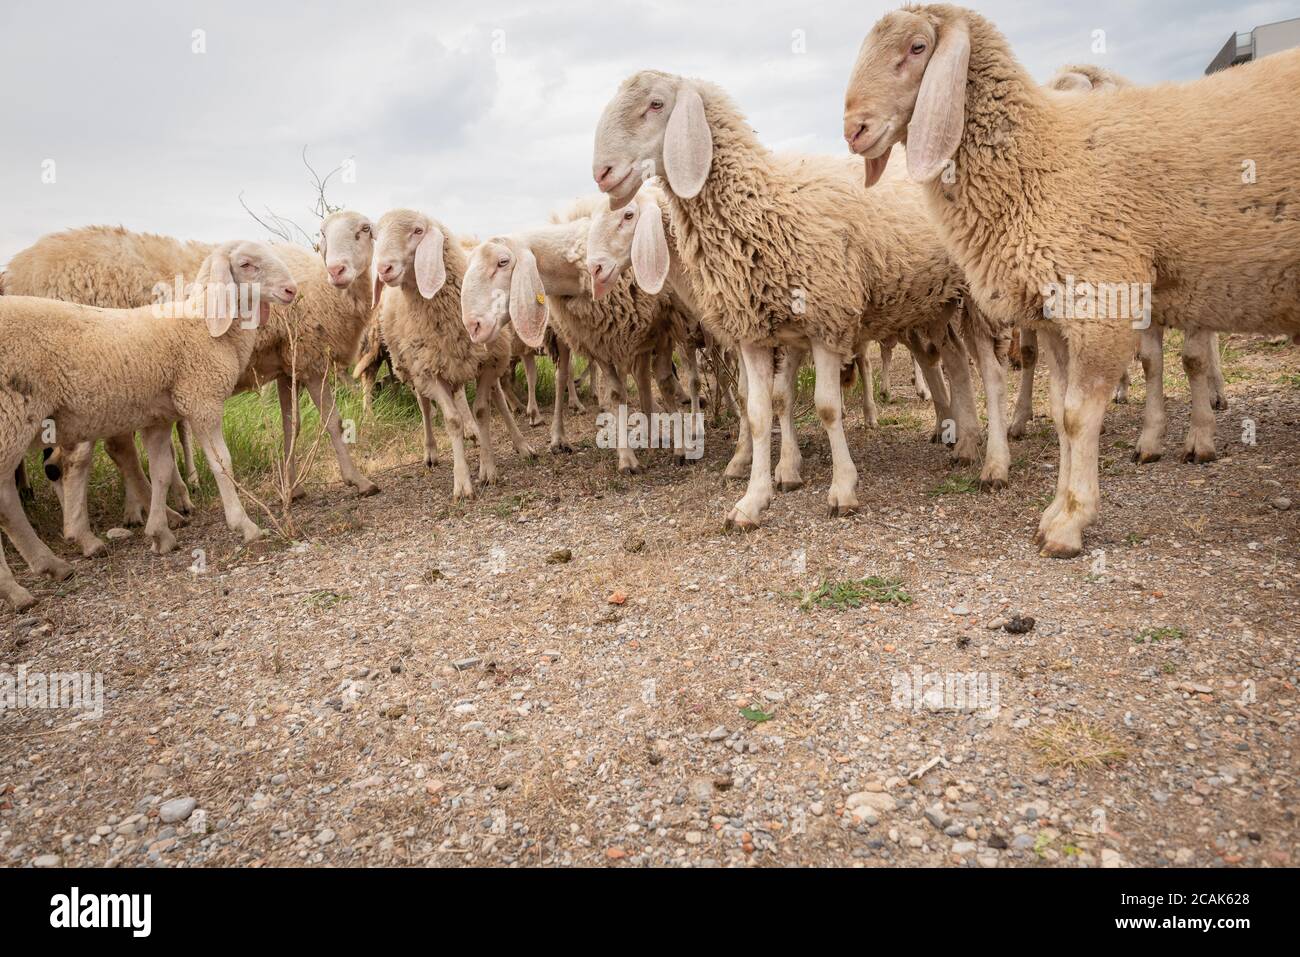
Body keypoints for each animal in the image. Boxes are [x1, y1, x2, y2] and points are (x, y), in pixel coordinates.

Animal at [0, 241, 298, 610]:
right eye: (245, 264)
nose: (291, 290)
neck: (203, 324)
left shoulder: (159, 417)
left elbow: (161, 470)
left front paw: (160, 533)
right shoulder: (201, 399)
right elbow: (222, 464)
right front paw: (245, 525)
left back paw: (51, 565)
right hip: (13, 415)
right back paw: (18, 587)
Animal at [372, 209, 536, 501]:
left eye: (417, 230)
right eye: (375, 236)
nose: (384, 270)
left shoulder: (488, 362)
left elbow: (482, 410)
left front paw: (488, 468)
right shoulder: (429, 371)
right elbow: (452, 420)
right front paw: (462, 483)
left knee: (496, 398)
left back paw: (519, 443)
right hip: (412, 368)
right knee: (424, 405)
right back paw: (431, 451)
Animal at [592, 72, 1002, 527]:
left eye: (656, 104)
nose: (602, 173)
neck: (762, 207)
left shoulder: (826, 321)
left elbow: (825, 407)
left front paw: (840, 489)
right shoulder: (758, 333)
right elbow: (759, 409)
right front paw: (754, 497)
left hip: (977, 293)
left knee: (990, 372)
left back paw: (994, 464)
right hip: (936, 302)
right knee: (955, 361)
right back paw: (964, 443)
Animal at [844, 3, 1300, 556]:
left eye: (916, 48)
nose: (853, 129)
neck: (1043, 157)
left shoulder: (1104, 297)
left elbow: (1084, 412)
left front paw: (1071, 522)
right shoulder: (1058, 317)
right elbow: (1062, 412)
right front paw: (1055, 509)